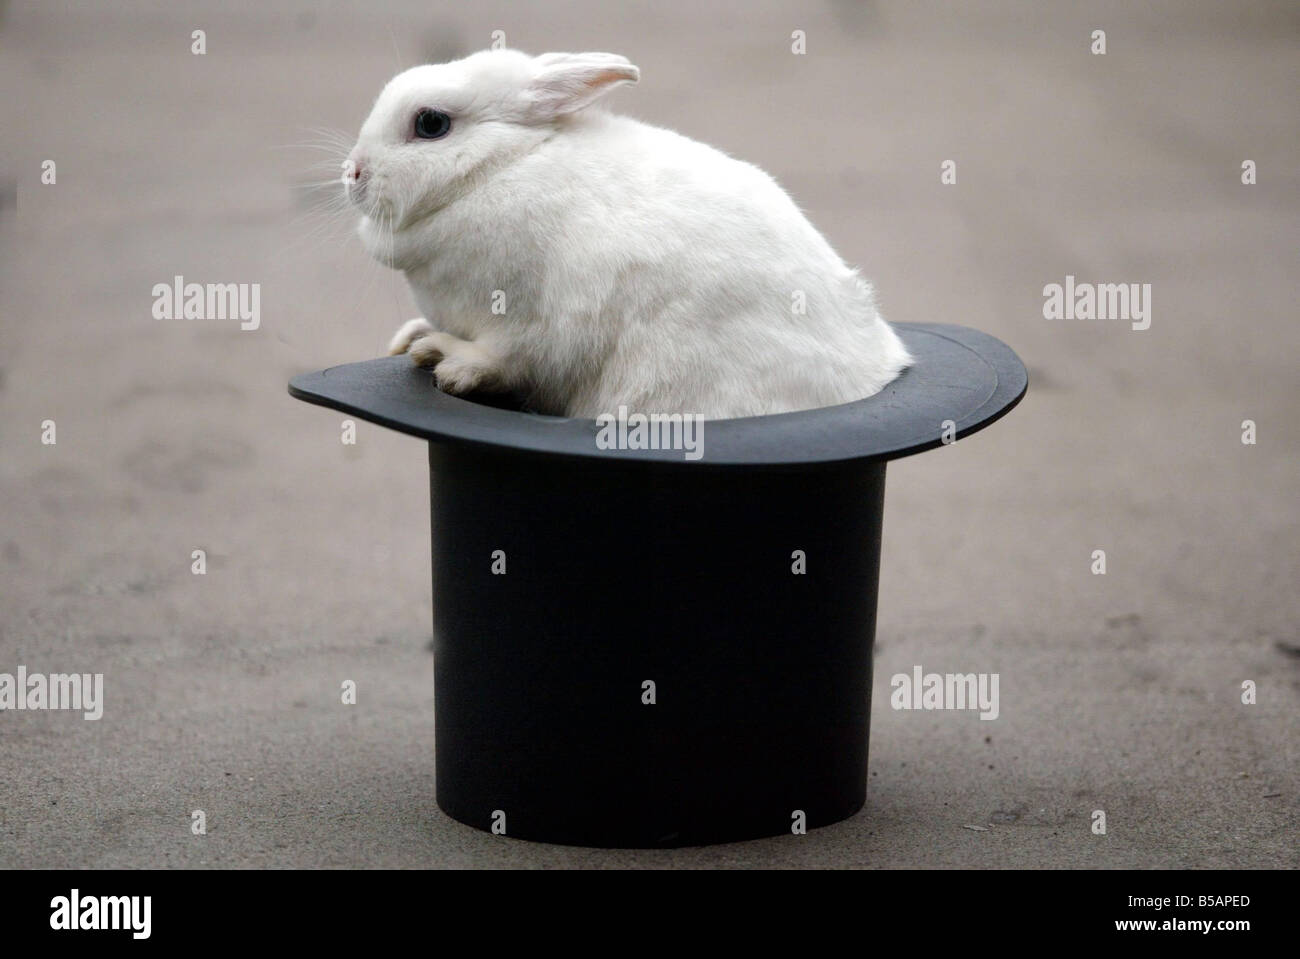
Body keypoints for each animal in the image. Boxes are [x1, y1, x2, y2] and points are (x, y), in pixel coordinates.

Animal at [342, 49, 911, 419]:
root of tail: (880, 374)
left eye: (431, 124)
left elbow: (505, 360)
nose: (353, 173)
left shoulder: (532, 325)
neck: (496, 169)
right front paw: (411, 339)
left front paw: (445, 362)